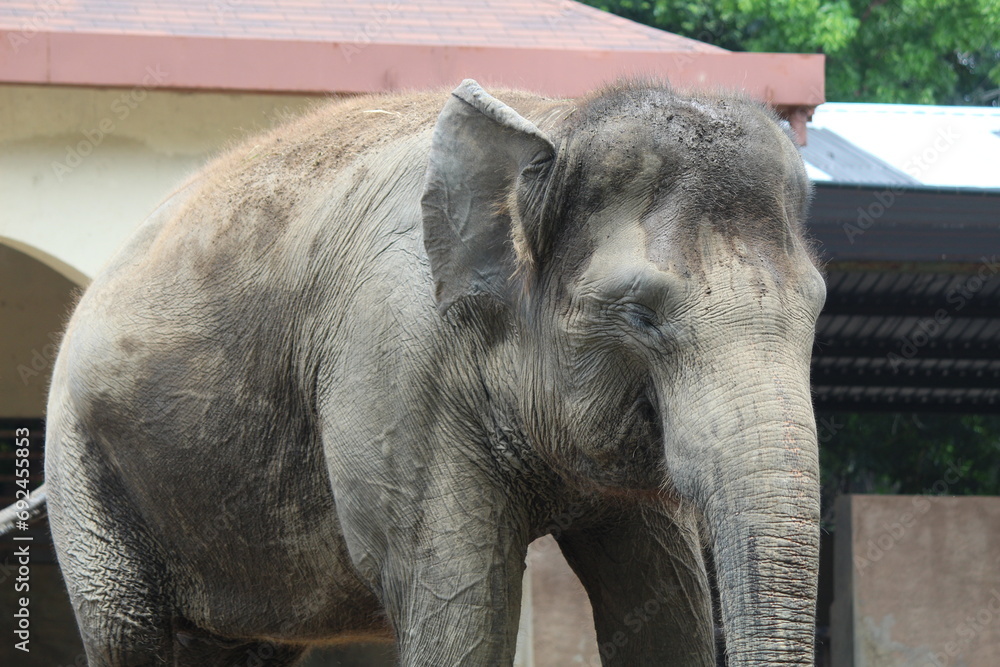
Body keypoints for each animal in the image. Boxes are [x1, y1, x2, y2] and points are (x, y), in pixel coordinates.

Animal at [40, 79, 826, 666]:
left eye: (817, 306)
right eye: (639, 313)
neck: (554, 122)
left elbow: (663, 600)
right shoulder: (394, 364)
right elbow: (459, 608)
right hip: (80, 465)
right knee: (124, 631)